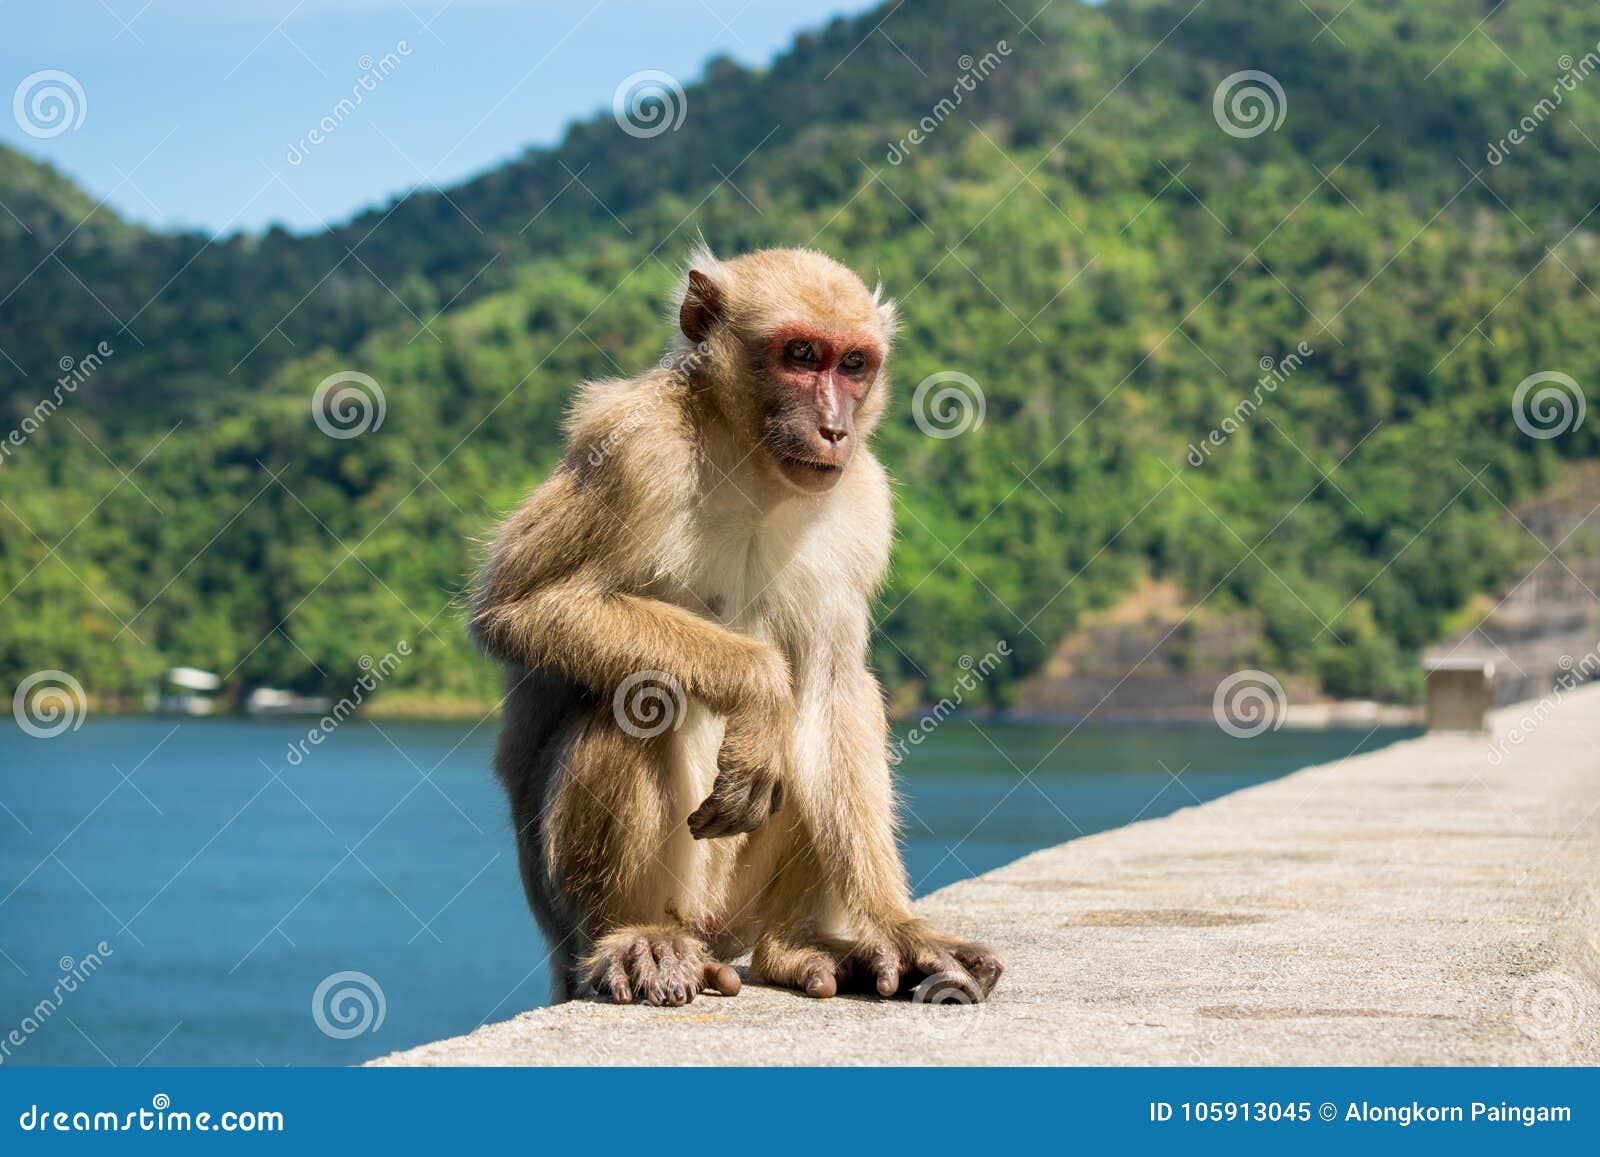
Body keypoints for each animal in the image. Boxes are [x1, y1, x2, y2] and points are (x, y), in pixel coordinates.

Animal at [470, 246, 1003, 1008]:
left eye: (854, 364)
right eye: (801, 354)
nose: (836, 427)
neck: (751, 463)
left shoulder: (863, 500)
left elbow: (834, 691)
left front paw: (896, 926)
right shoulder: (631, 447)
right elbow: (522, 608)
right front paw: (758, 685)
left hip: (741, 903)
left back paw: (795, 946)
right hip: (594, 907)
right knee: (636, 698)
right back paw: (635, 936)